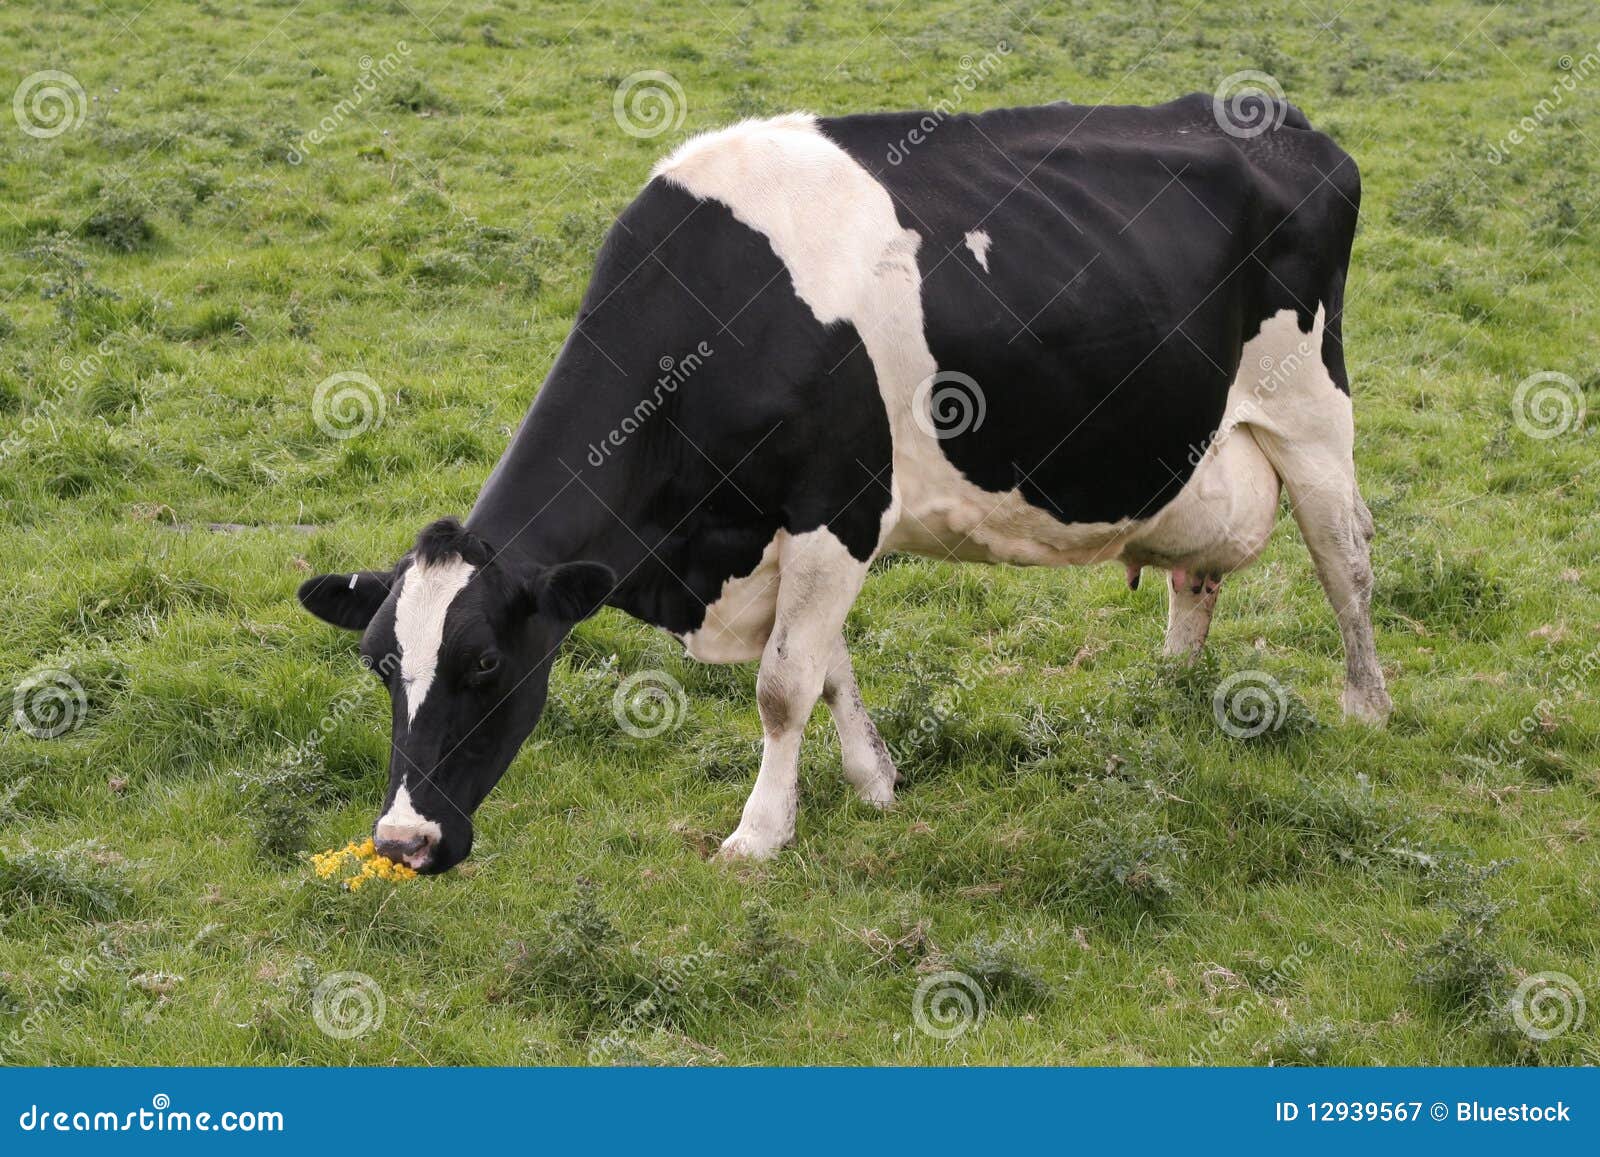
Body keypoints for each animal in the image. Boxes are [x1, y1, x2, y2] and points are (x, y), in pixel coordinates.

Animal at [296, 94, 1391, 874]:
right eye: (380, 666)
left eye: (485, 664)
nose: (403, 843)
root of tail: (1273, 116)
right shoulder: (788, 529)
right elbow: (826, 667)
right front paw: (874, 781)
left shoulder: (836, 503)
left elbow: (784, 682)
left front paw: (758, 834)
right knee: (1195, 574)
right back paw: (1171, 687)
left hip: (1312, 408)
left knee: (1344, 560)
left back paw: (1367, 705)